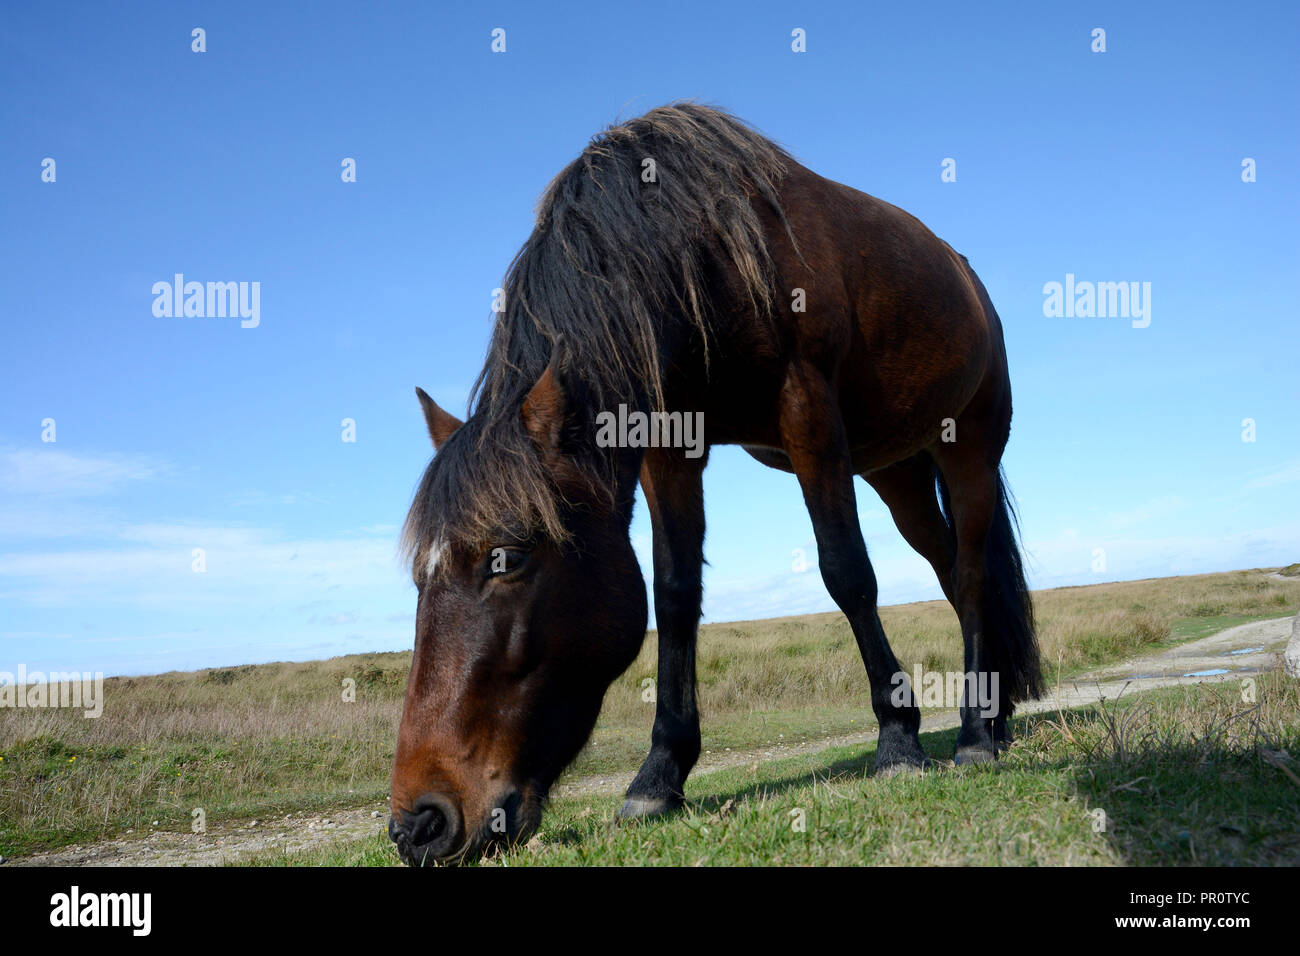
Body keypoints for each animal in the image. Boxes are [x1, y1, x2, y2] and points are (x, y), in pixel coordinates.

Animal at [388, 103, 1043, 865]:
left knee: (967, 572)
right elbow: (675, 596)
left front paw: (897, 739)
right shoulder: (669, 445)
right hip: (896, 471)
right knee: (951, 569)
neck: (696, 252)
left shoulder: (808, 412)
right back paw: (996, 719)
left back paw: (973, 737)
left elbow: (846, 572)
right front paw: (659, 774)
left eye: (509, 558)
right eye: (418, 578)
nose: (419, 823)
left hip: (969, 446)